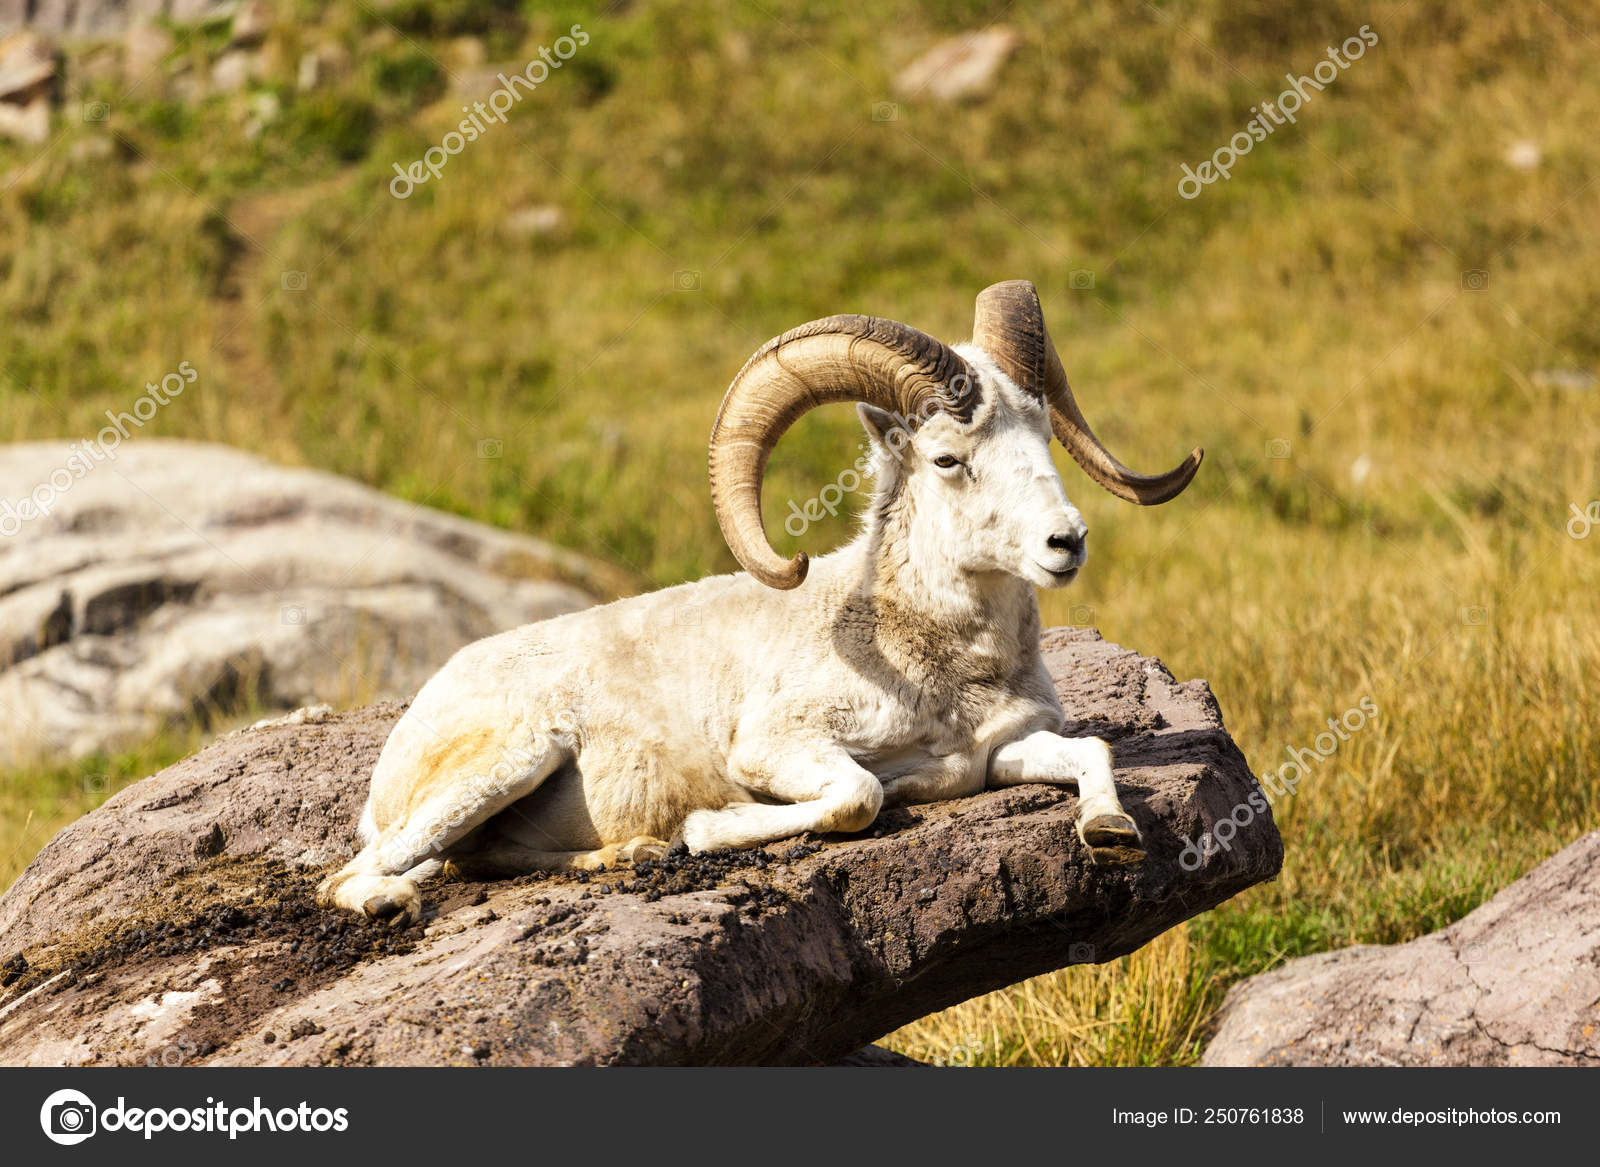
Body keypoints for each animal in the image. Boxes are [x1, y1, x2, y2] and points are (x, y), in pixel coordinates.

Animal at [317, 280, 1201, 924]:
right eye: (949, 458)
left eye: (1043, 436)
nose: (1066, 542)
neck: (941, 665)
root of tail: (421, 710)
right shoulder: (779, 746)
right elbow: (860, 795)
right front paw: (707, 830)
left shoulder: (1005, 751)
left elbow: (1093, 752)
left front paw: (1110, 832)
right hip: (509, 761)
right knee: (353, 875)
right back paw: (394, 900)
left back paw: (631, 854)